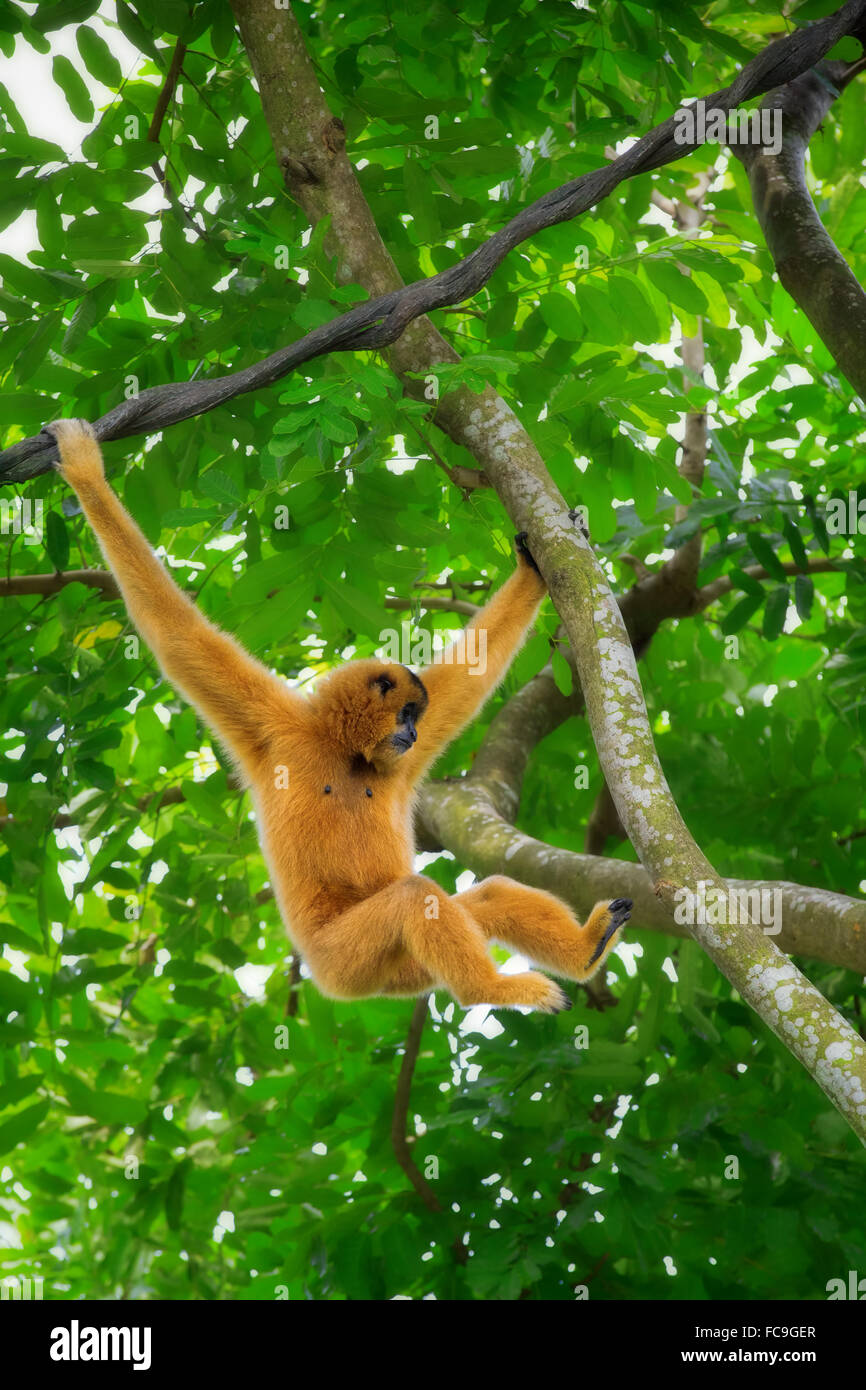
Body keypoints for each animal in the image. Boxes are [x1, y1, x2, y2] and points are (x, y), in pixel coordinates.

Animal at [43, 419, 632, 1014]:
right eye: (406, 714)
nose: (413, 731)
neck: (343, 750)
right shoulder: (275, 727)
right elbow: (179, 637)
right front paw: (86, 474)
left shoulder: (396, 762)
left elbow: (470, 673)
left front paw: (532, 572)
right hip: (346, 962)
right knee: (414, 899)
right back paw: (490, 986)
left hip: (398, 967)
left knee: (488, 895)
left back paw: (583, 949)